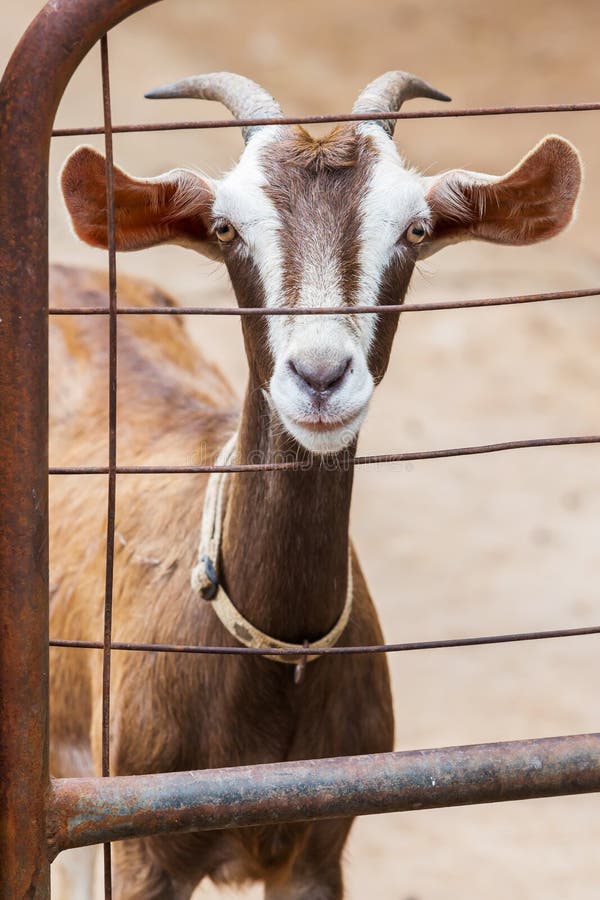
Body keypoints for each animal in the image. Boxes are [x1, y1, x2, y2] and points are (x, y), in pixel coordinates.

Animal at [50, 70, 582, 899]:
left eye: (416, 230)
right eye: (225, 229)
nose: (322, 377)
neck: (277, 654)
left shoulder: (318, 847)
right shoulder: (142, 851)